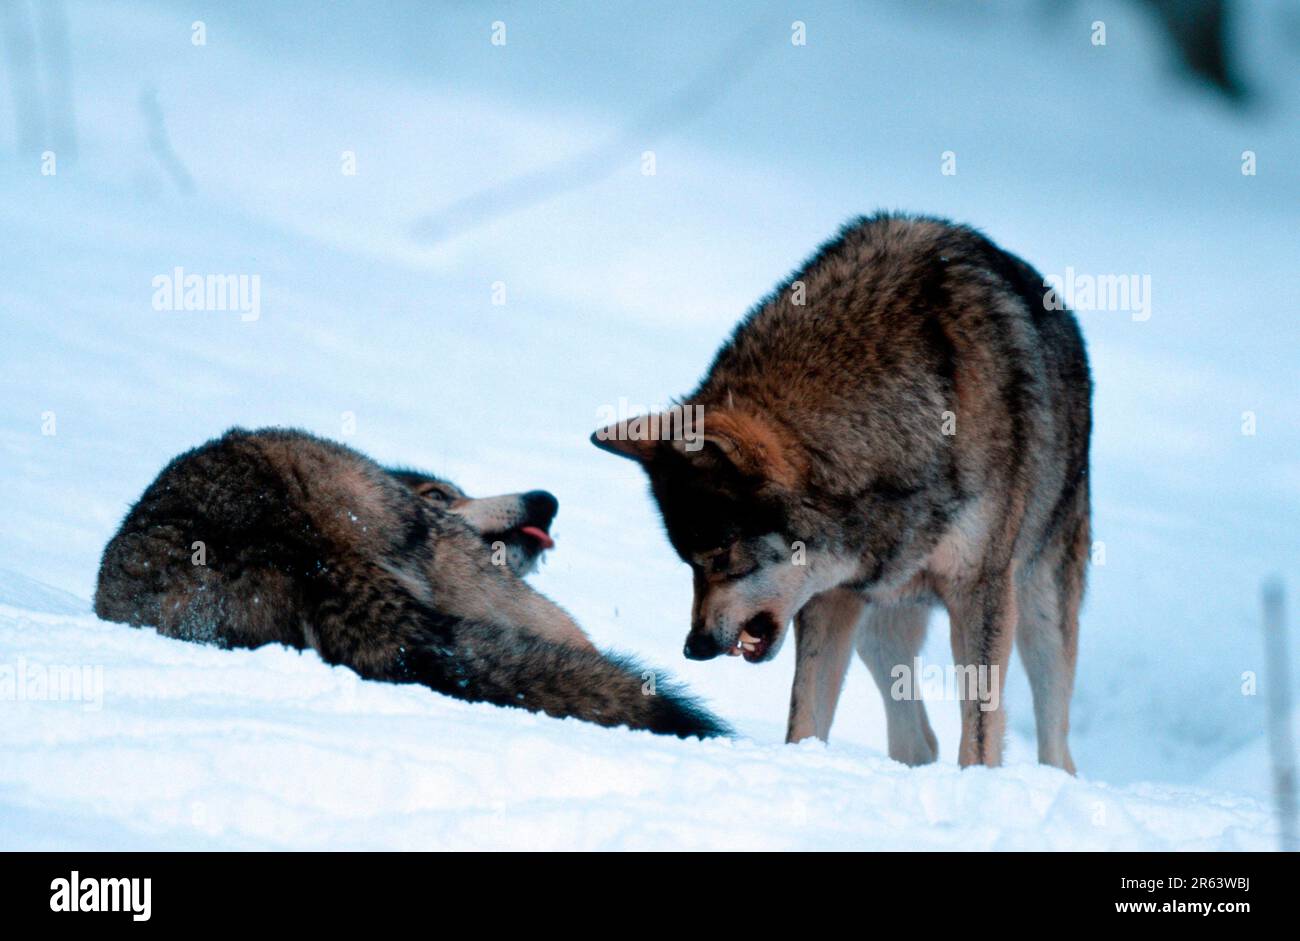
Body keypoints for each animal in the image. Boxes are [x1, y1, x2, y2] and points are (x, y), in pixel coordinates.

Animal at [593, 213, 1090, 770]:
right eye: (689, 564)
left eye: (721, 556)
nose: (694, 648)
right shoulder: (832, 594)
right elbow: (805, 714)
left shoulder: (979, 588)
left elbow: (980, 733)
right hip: (881, 622)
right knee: (919, 740)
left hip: (1040, 603)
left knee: (1056, 741)